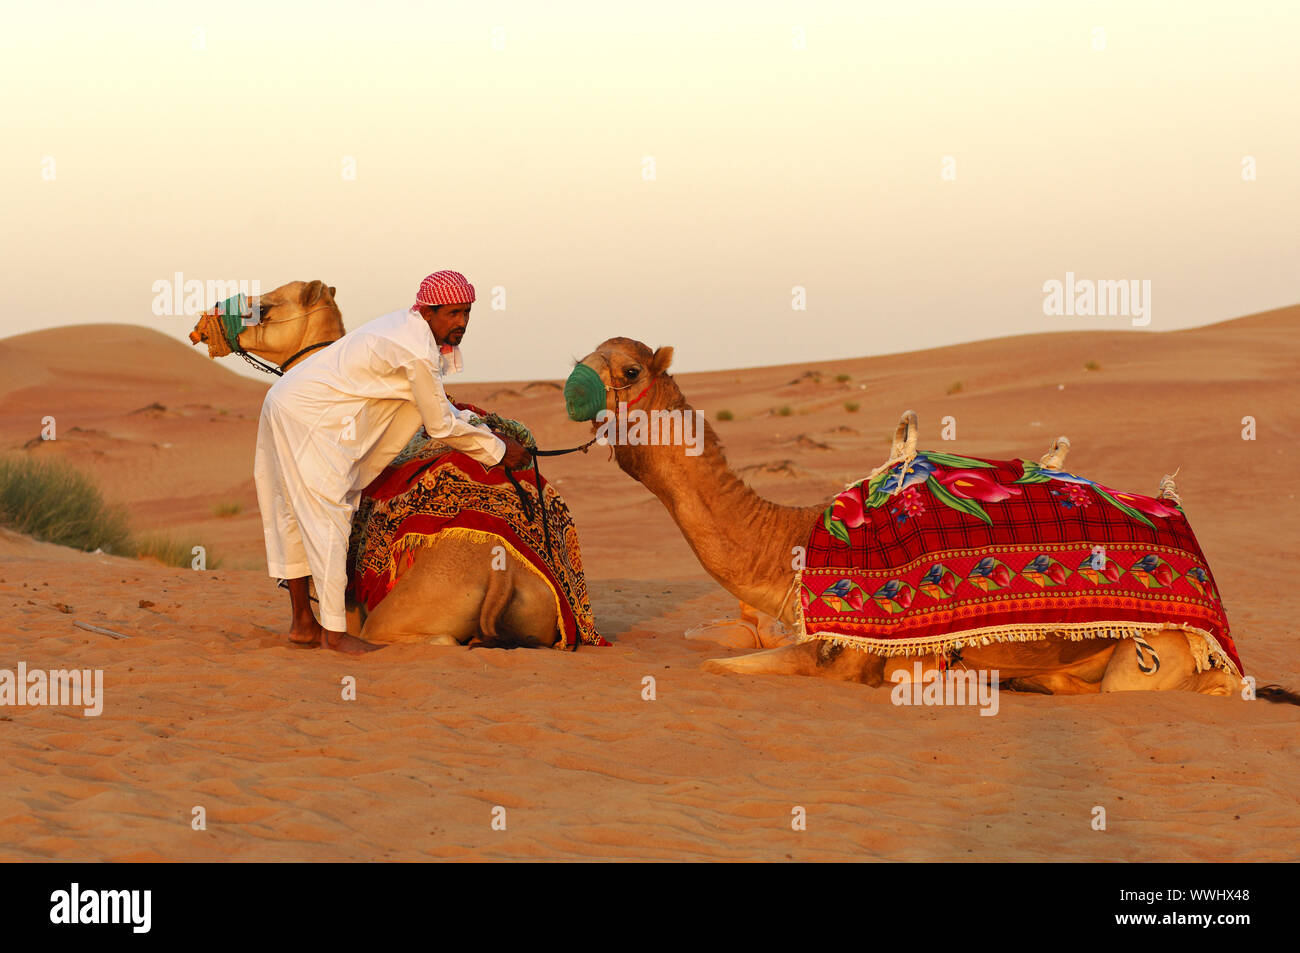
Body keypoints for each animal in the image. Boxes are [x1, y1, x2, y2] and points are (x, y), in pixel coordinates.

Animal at [566, 337, 1291, 700]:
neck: (795, 544)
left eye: (627, 368)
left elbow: (720, 667)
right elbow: (718, 647)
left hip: (1163, 652)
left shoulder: (861, 658)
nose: (569, 387)